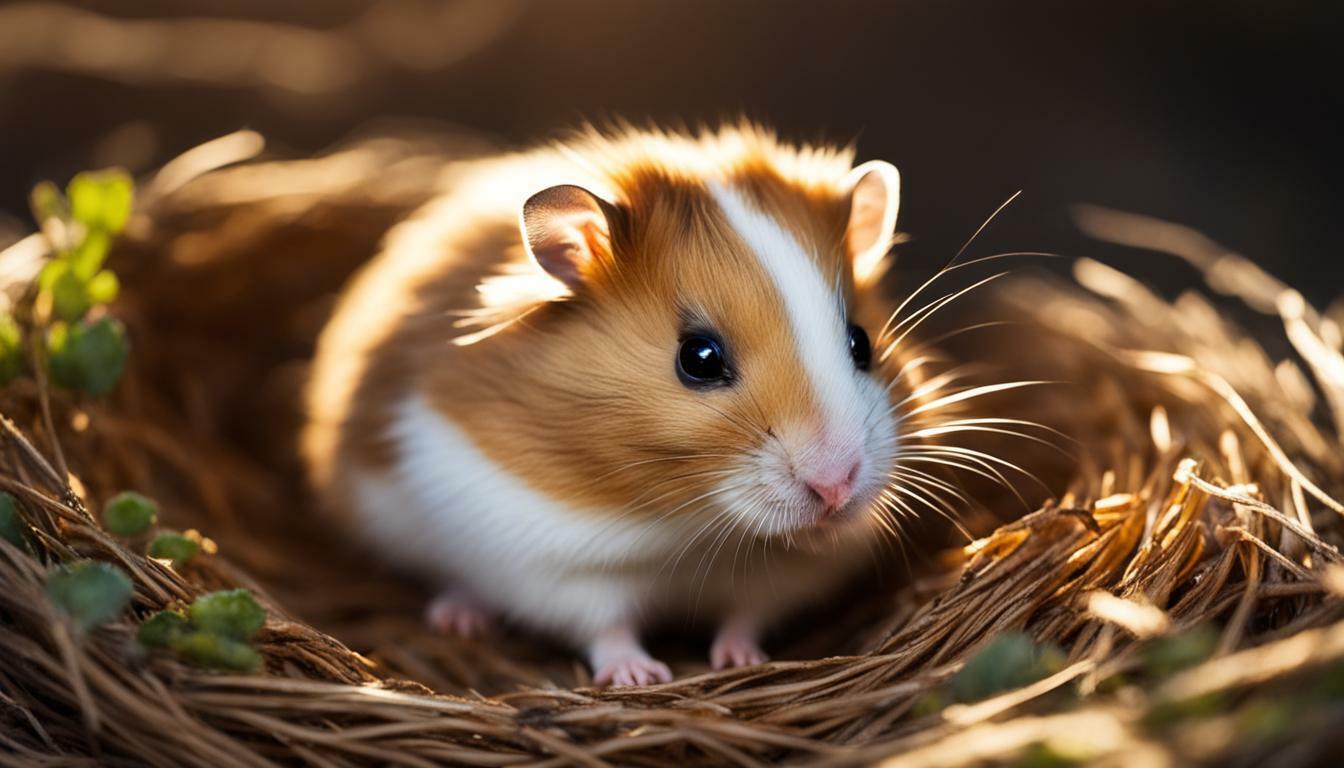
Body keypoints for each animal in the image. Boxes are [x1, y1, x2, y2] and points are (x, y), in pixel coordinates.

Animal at [302, 124, 908, 686]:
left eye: (861, 343)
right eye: (700, 358)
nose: (836, 489)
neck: (697, 528)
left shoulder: (782, 578)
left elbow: (746, 616)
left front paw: (742, 659)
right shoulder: (548, 567)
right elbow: (605, 628)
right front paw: (642, 676)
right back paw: (460, 619)